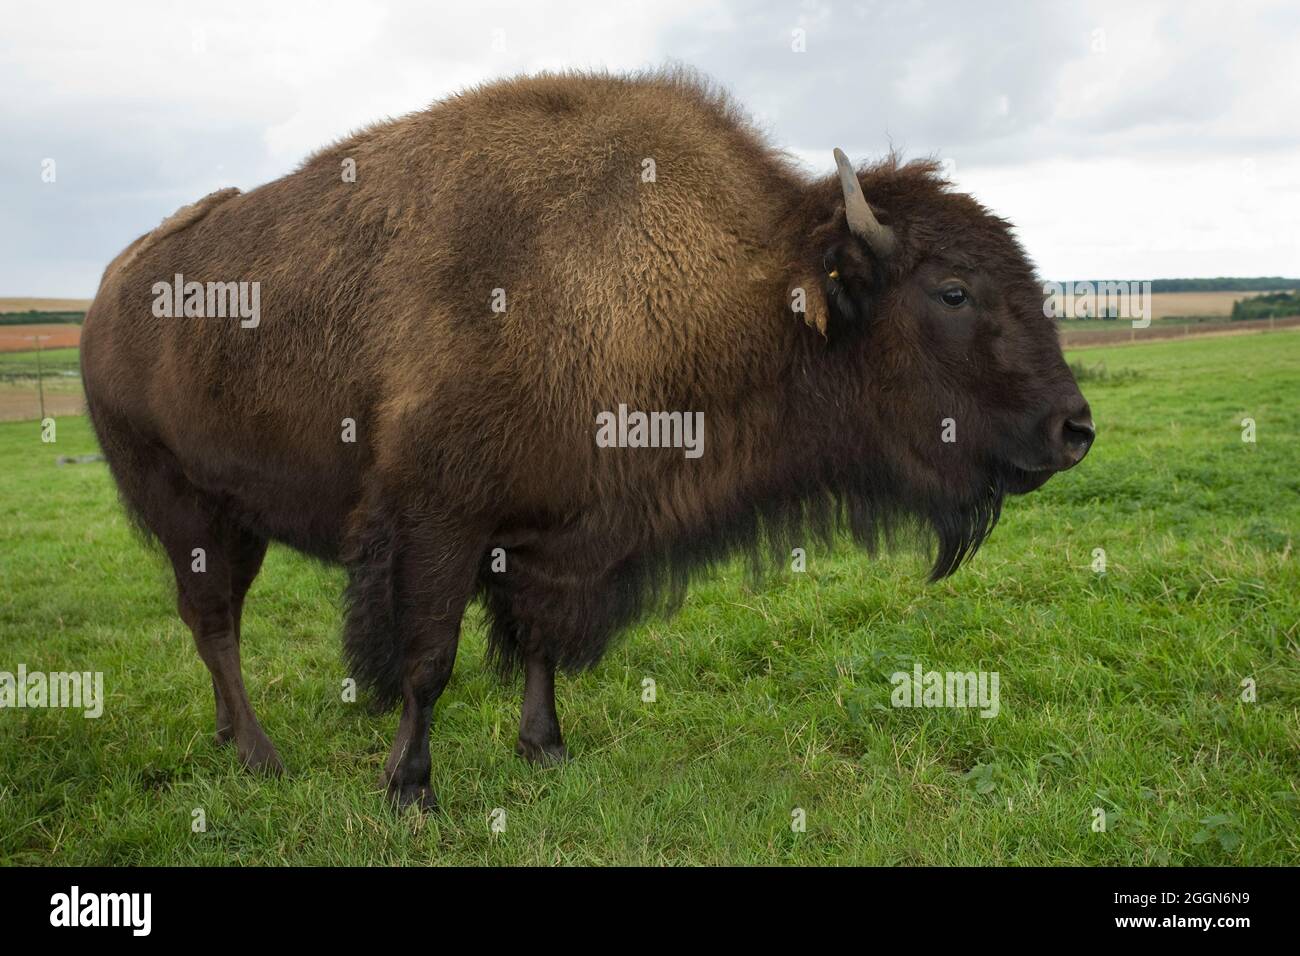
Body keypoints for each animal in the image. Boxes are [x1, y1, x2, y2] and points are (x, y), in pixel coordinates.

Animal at [81, 69, 1093, 810]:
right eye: (952, 291)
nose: (1073, 429)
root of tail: (108, 291)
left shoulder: (562, 533)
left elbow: (538, 644)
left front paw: (546, 749)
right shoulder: (436, 524)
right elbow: (427, 660)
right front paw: (411, 791)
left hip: (232, 519)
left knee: (216, 624)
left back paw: (233, 739)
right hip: (186, 509)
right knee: (216, 623)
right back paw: (260, 756)